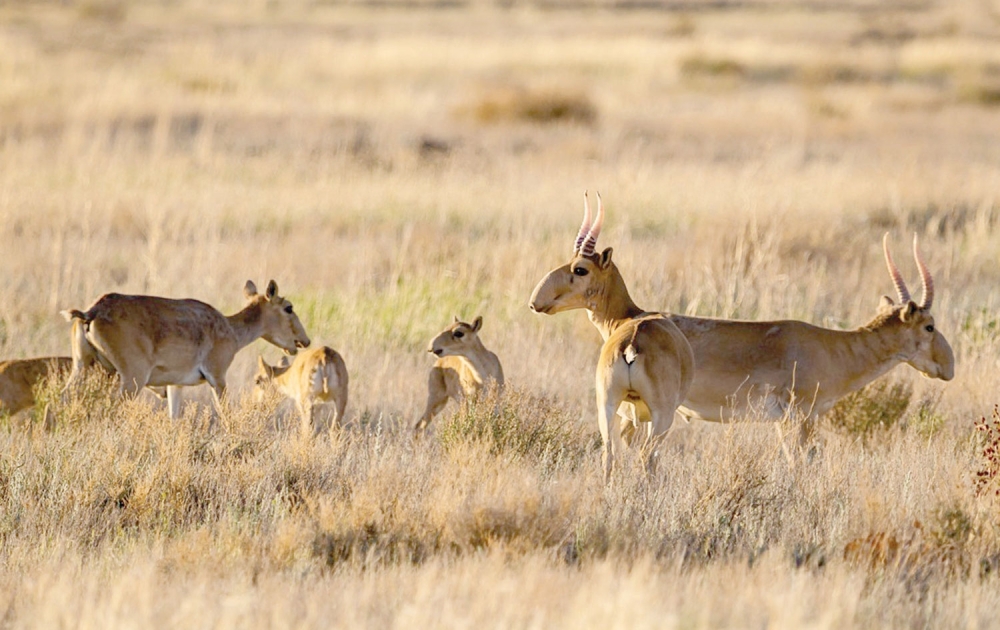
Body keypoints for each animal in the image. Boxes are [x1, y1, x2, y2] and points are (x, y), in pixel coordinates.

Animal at [61, 280, 311, 418]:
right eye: (288, 307)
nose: (304, 341)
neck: (230, 329)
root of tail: (90, 313)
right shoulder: (217, 377)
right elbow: (225, 414)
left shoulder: (175, 385)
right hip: (132, 379)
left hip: (83, 367)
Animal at [529, 193, 694, 481]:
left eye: (580, 269)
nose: (536, 302)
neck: (630, 317)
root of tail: (632, 344)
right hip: (660, 415)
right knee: (647, 455)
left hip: (606, 405)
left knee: (609, 454)